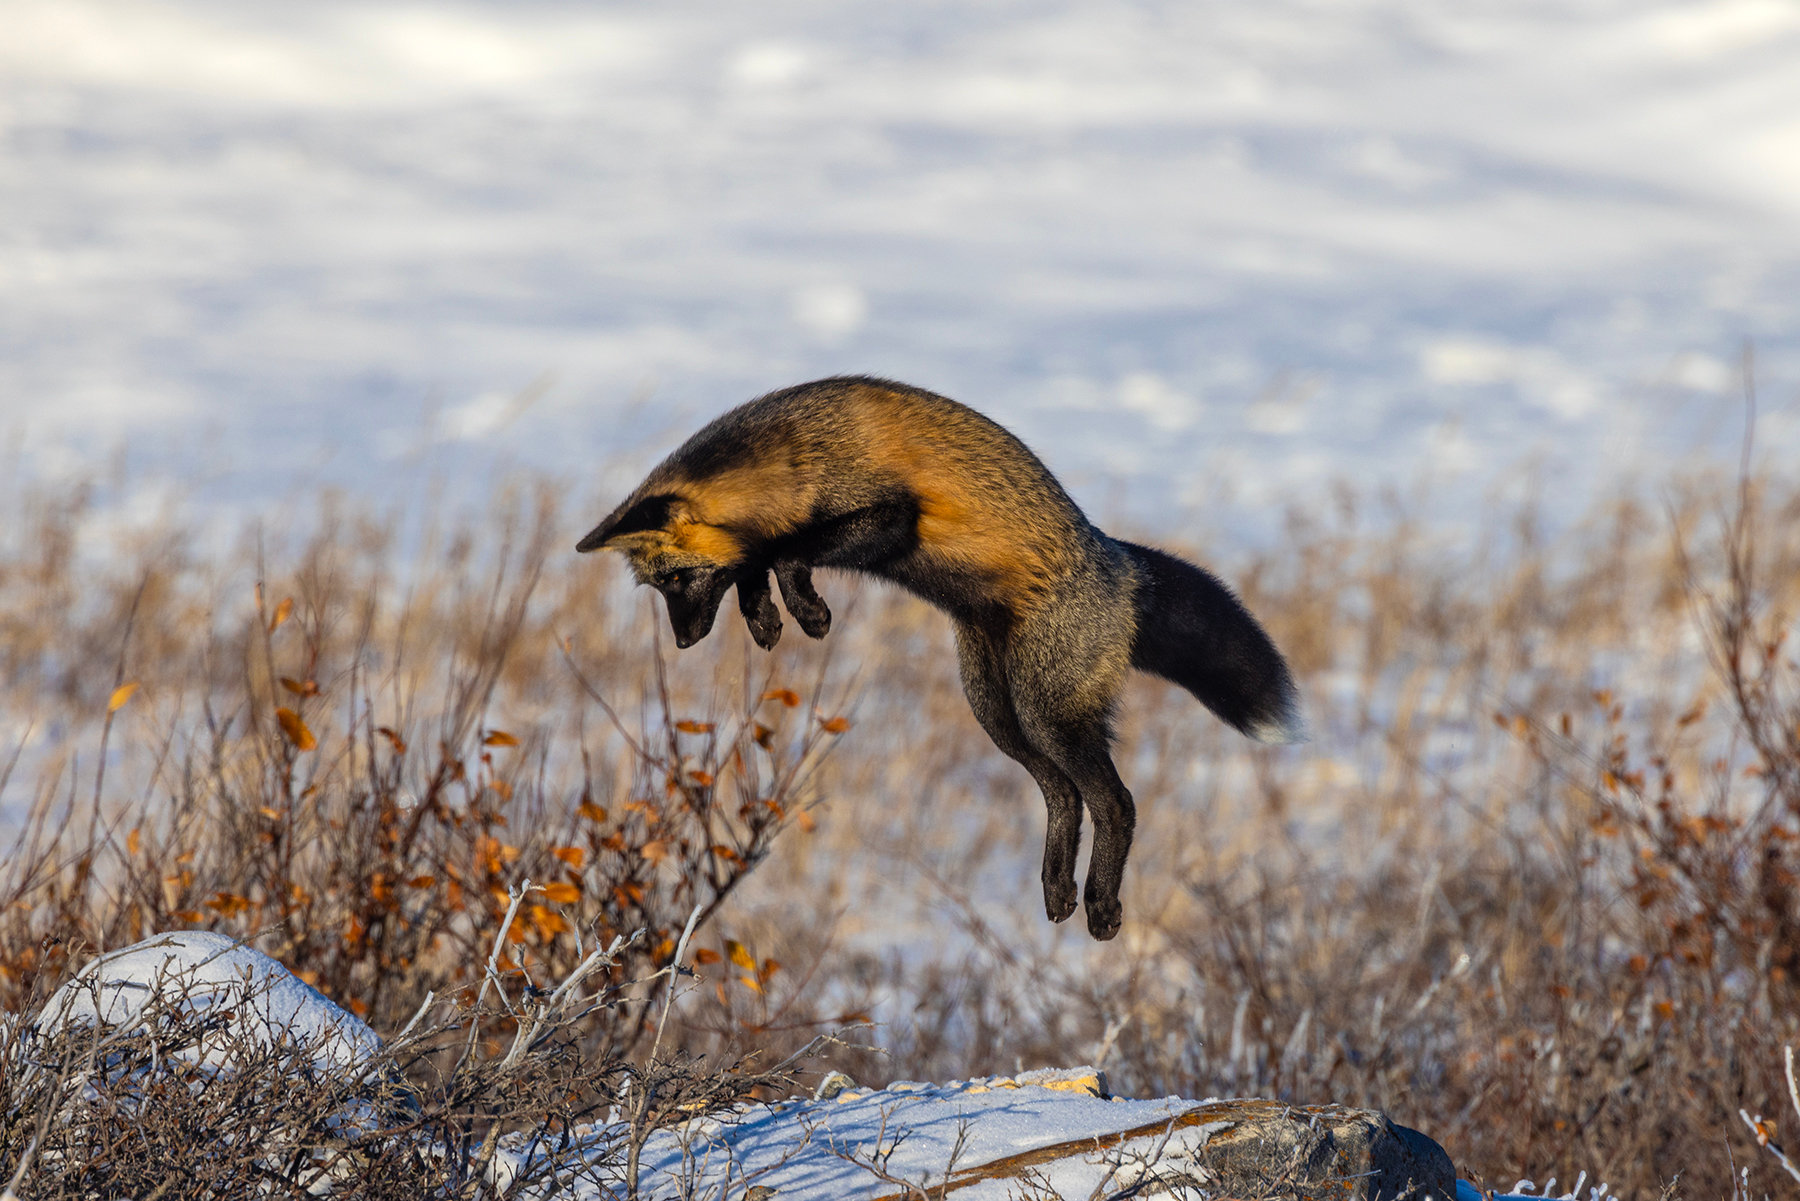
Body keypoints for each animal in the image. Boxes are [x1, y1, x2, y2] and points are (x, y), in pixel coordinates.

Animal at [577, 376, 1303, 940]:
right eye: (658, 589)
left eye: (675, 581)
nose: (682, 643)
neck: (796, 459)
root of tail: (1120, 564)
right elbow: (760, 560)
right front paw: (766, 618)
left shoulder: (894, 513)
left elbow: (787, 550)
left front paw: (805, 610)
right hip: (997, 711)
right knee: (1064, 795)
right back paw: (1058, 891)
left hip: (1046, 710)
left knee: (1117, 802)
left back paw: (1100, 904)